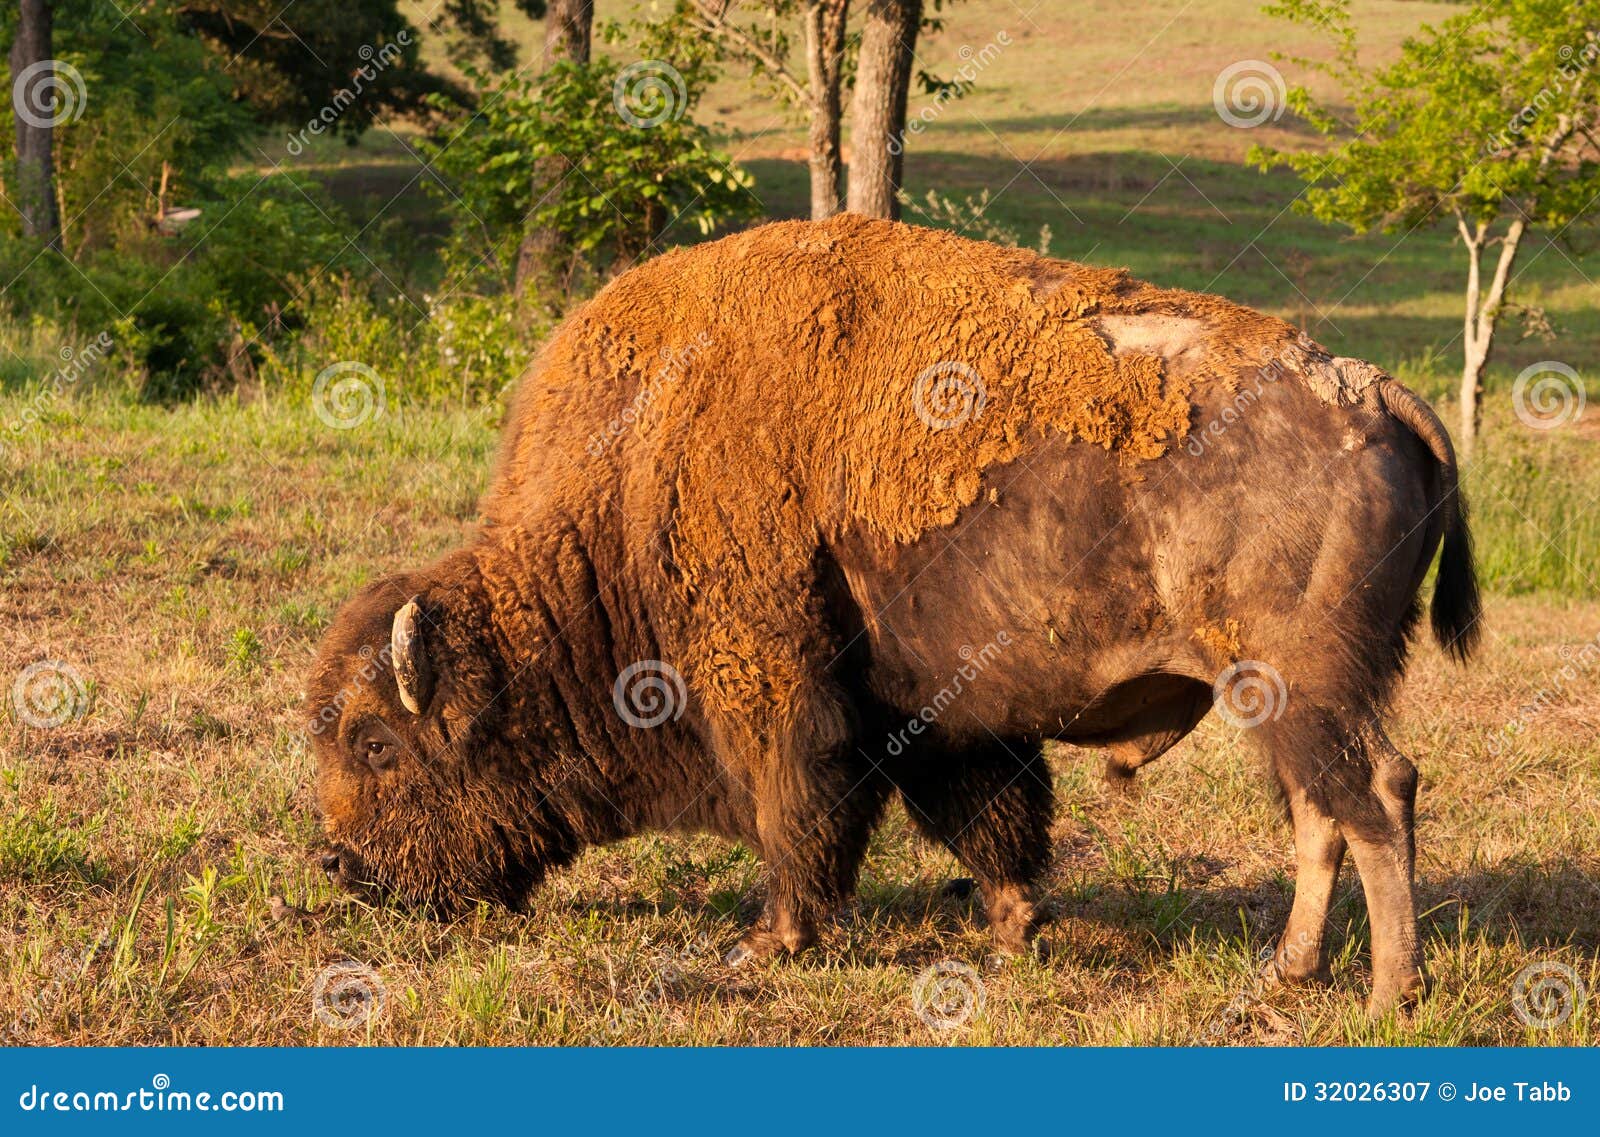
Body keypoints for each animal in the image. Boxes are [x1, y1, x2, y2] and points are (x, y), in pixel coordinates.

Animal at [308, 214, 1477, 1013]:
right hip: (1273, 698)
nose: (340, 867)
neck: (626, 485)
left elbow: (799, 815)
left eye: (376, 743)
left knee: (1375, 794)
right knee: (1320, 811)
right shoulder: (939, 717)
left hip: (1299, 687)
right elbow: (991, 816)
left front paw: (767, 944)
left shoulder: (778, 697)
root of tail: (1378, 393)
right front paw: (1013, 928)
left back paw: (1389, 992)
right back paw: (1290, 969)